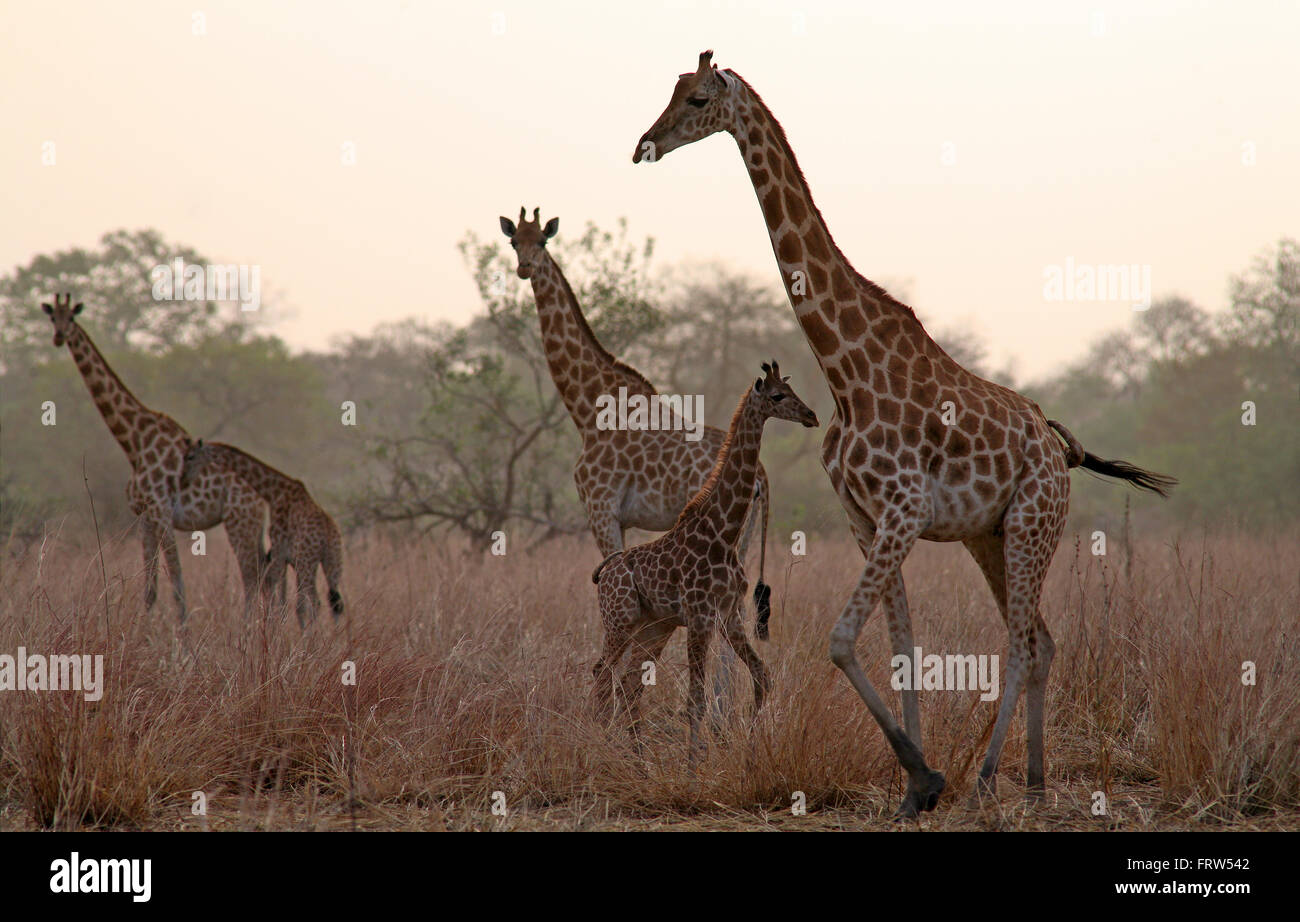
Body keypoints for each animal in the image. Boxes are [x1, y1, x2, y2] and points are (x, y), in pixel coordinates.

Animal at [42, 294, 268, 622]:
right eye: (51, 318)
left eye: (70, 317)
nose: (59, 337)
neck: (133, 443)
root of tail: (263, 495)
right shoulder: (145, 517)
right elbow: (150, 588)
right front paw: (143, 632)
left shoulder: (161, 512)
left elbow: (177, 583)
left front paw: (183, 637)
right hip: (250, 524)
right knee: (265, 575)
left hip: (241, 521)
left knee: (253, 579)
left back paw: (250, 628)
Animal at [181, 438, 344, 628]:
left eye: (190, 457)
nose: (183, 480)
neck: (274, 492)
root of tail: (328, 536)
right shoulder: (284, 557)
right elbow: (286, 600)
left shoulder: (279, 552)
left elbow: (281, 599)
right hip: (333, 563)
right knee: (334, 603)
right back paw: (334, 635)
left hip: (307, 563)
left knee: (314, 602)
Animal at [591, 361, 818, 763]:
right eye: (778, 396)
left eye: (792, 391)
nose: (811, 416)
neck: (723, 532)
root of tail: (605, 572)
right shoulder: (699, 616)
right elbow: (695, 700)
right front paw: (693, 766)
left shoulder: (728, 614)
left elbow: (762, 677)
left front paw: (750, 753)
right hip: (619, 620)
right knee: (602, 678)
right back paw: (605, 753)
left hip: (653, 626)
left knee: (628, 682)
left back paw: (640, 763)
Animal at [634, 52, 1176, 815]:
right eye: (672, 91)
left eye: (698, 99)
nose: (645, 145)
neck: (845, 370)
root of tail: (1057, 446)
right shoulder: (867, 521)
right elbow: (899, 648)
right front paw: (911, 789)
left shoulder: (903, 513)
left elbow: (839, 641)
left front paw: (927, 777)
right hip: (990, 534)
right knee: (1041, 640)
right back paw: (1035, 783)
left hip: (1034, 522)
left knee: (1020, 641)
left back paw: (989, 780)